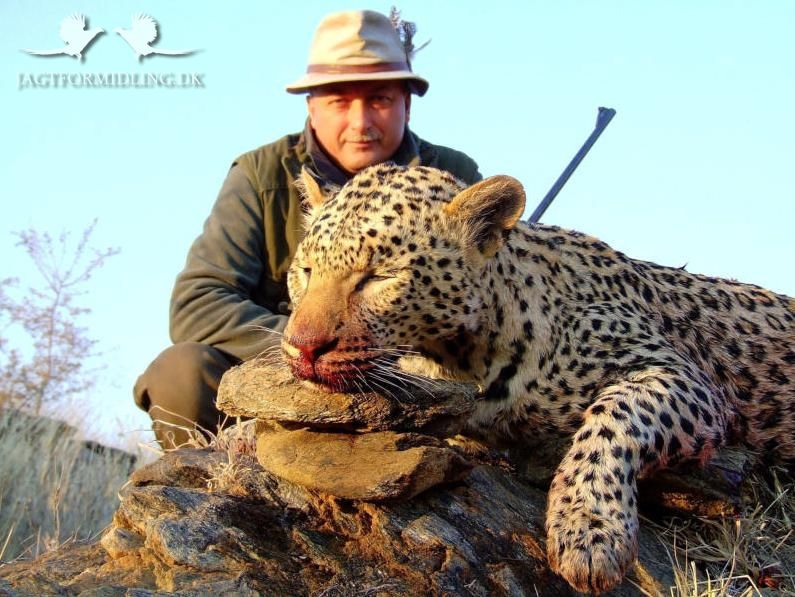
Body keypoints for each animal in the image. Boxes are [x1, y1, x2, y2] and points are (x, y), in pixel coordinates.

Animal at [280, 163, 795, 594]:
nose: (303, 346)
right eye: (305, 271)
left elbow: (615, 418)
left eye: (380, 277)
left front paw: (588, 530)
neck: (463, 358)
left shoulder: (682, 374)